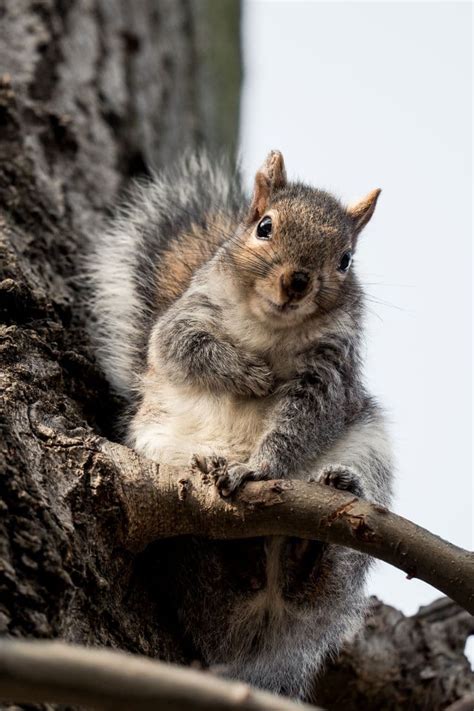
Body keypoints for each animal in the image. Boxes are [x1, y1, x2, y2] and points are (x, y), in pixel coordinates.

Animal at [89, 150, 393, 699]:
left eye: (346, 260)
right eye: (264, 227)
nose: (297, 281)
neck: (271, 326)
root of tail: (258, 642)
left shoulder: (328, 372)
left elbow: (301, 422)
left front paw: (259, 465)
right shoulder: (186, 317)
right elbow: (183, 348)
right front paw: (250, 375)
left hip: (367, 463)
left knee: (315, 582)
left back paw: (315, 528)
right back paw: (234, 538)